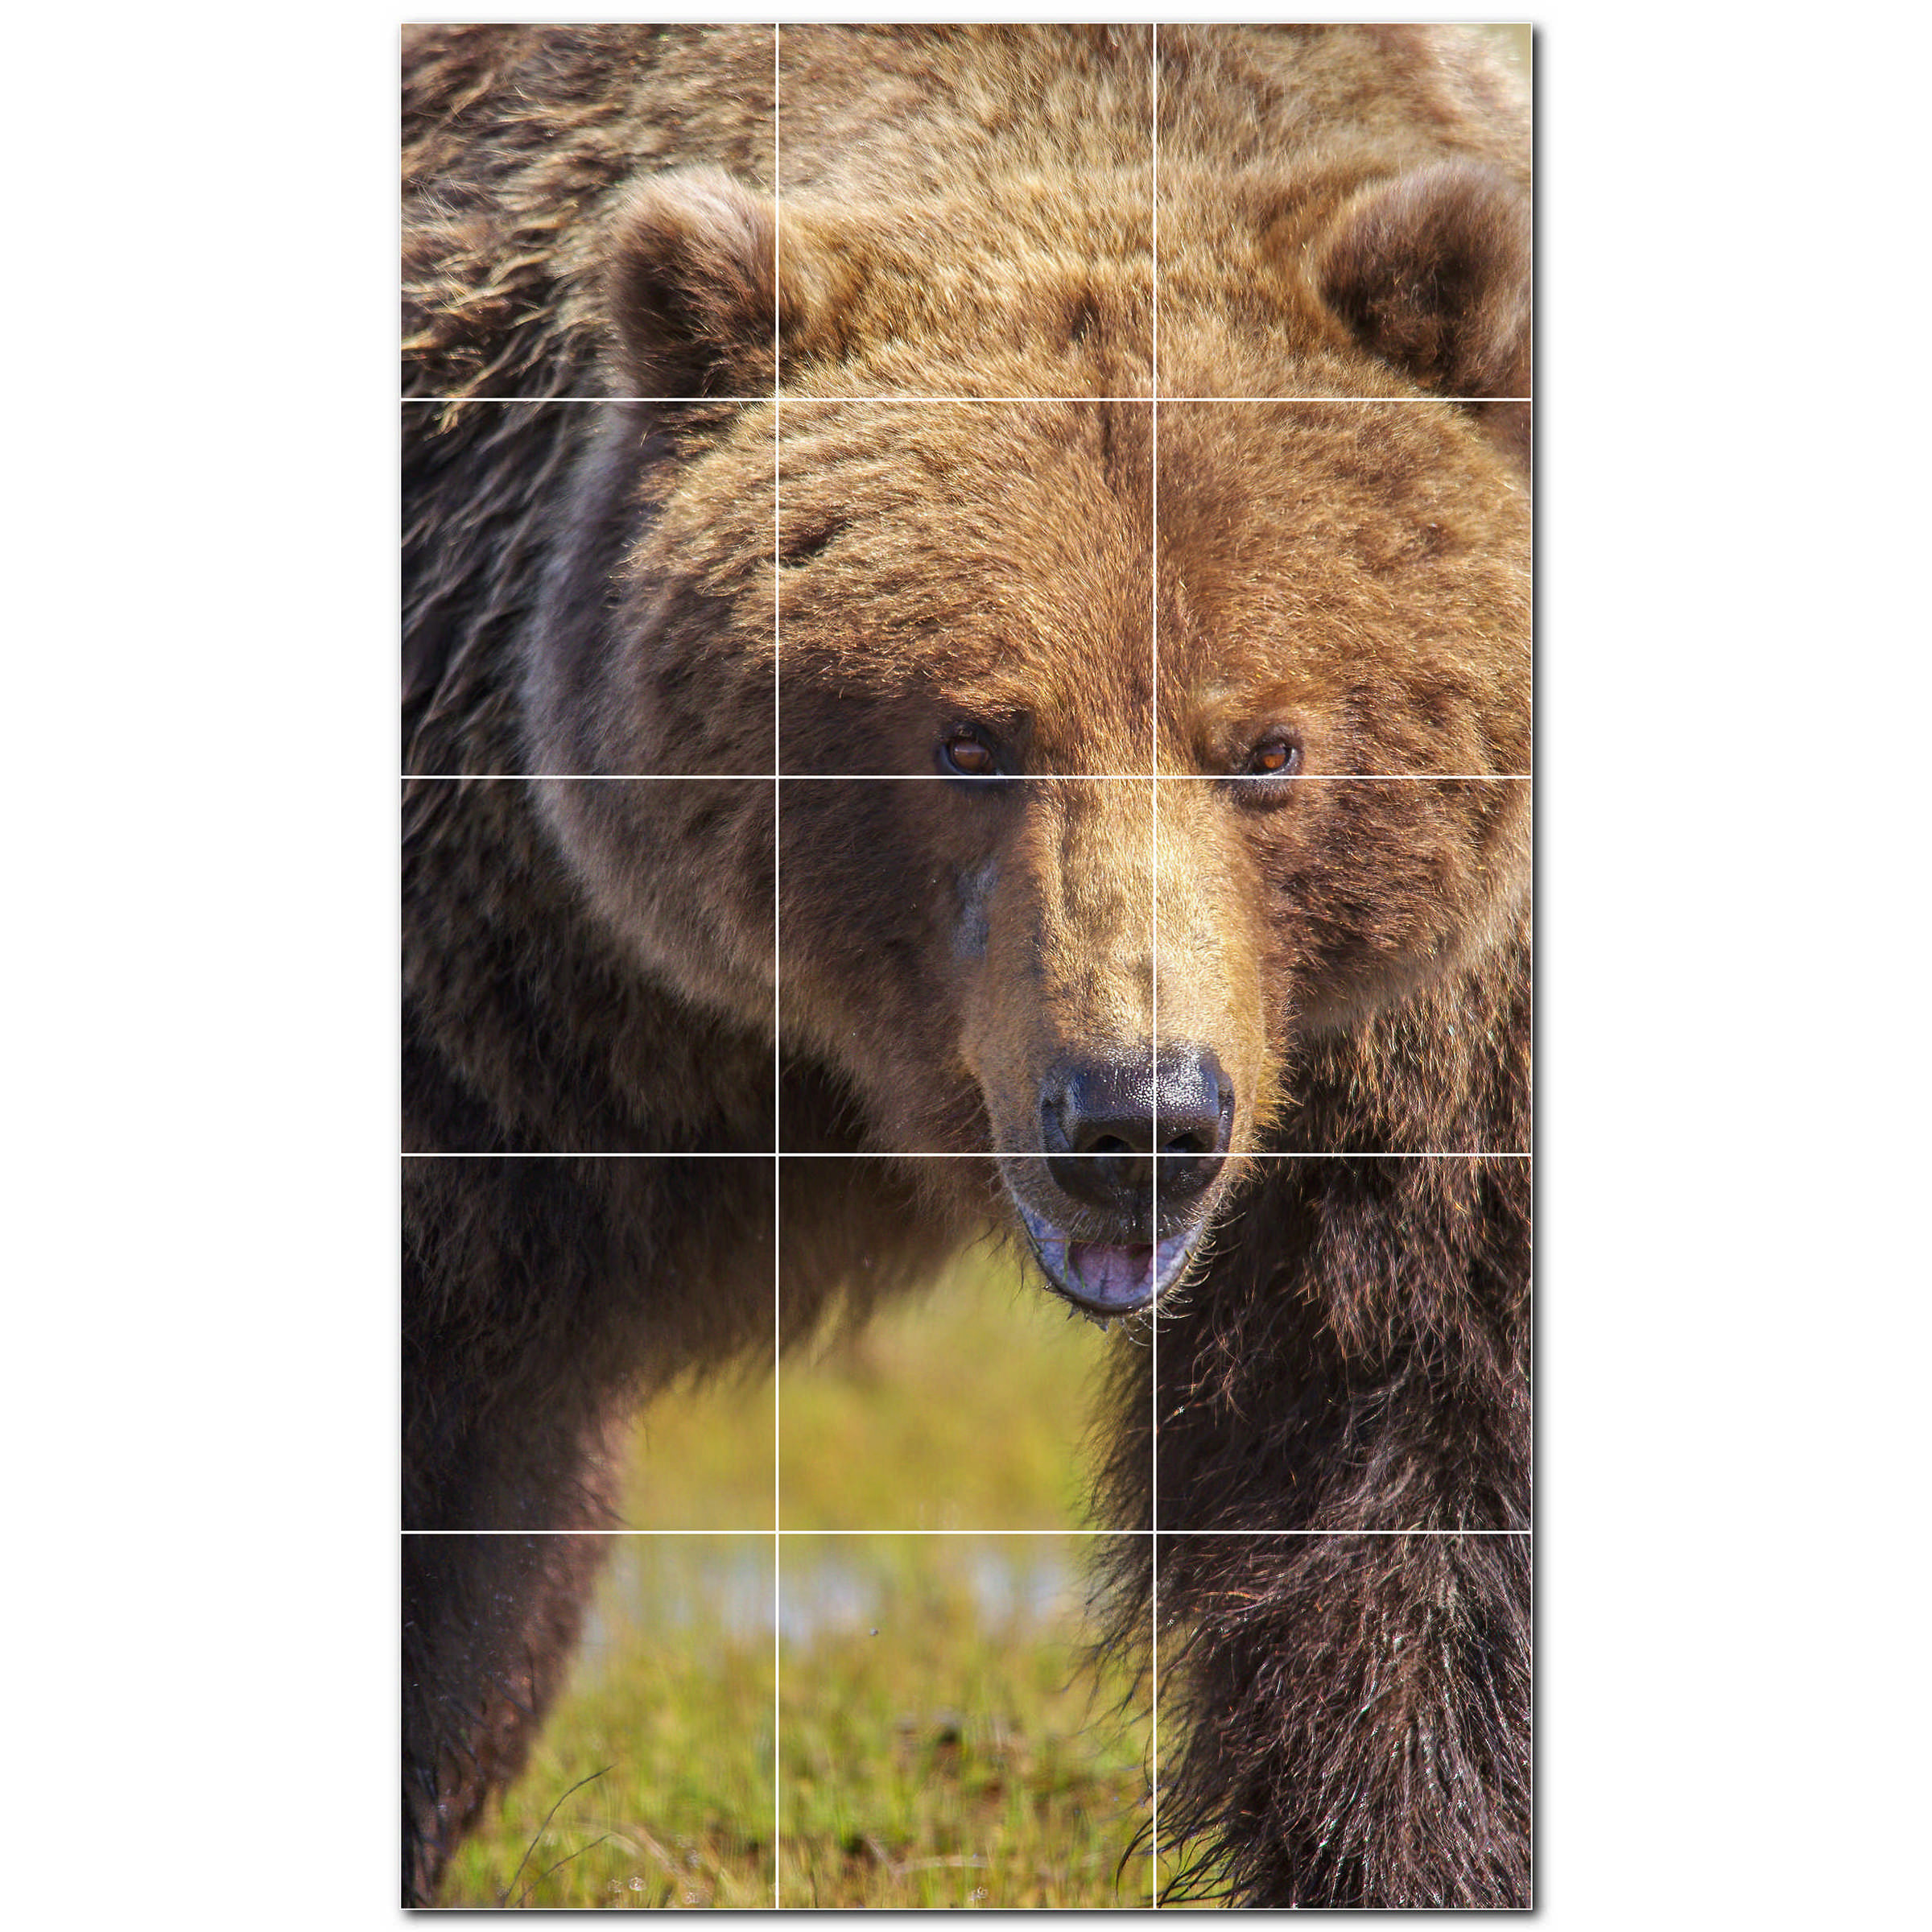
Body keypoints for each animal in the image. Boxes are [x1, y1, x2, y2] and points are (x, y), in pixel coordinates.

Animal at [403, 22, 1531, 1910]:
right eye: (969, 738)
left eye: (1272, 747)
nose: (1137, 1119)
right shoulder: (495, 949)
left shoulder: (1430, 1069)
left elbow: (1421, 1444)